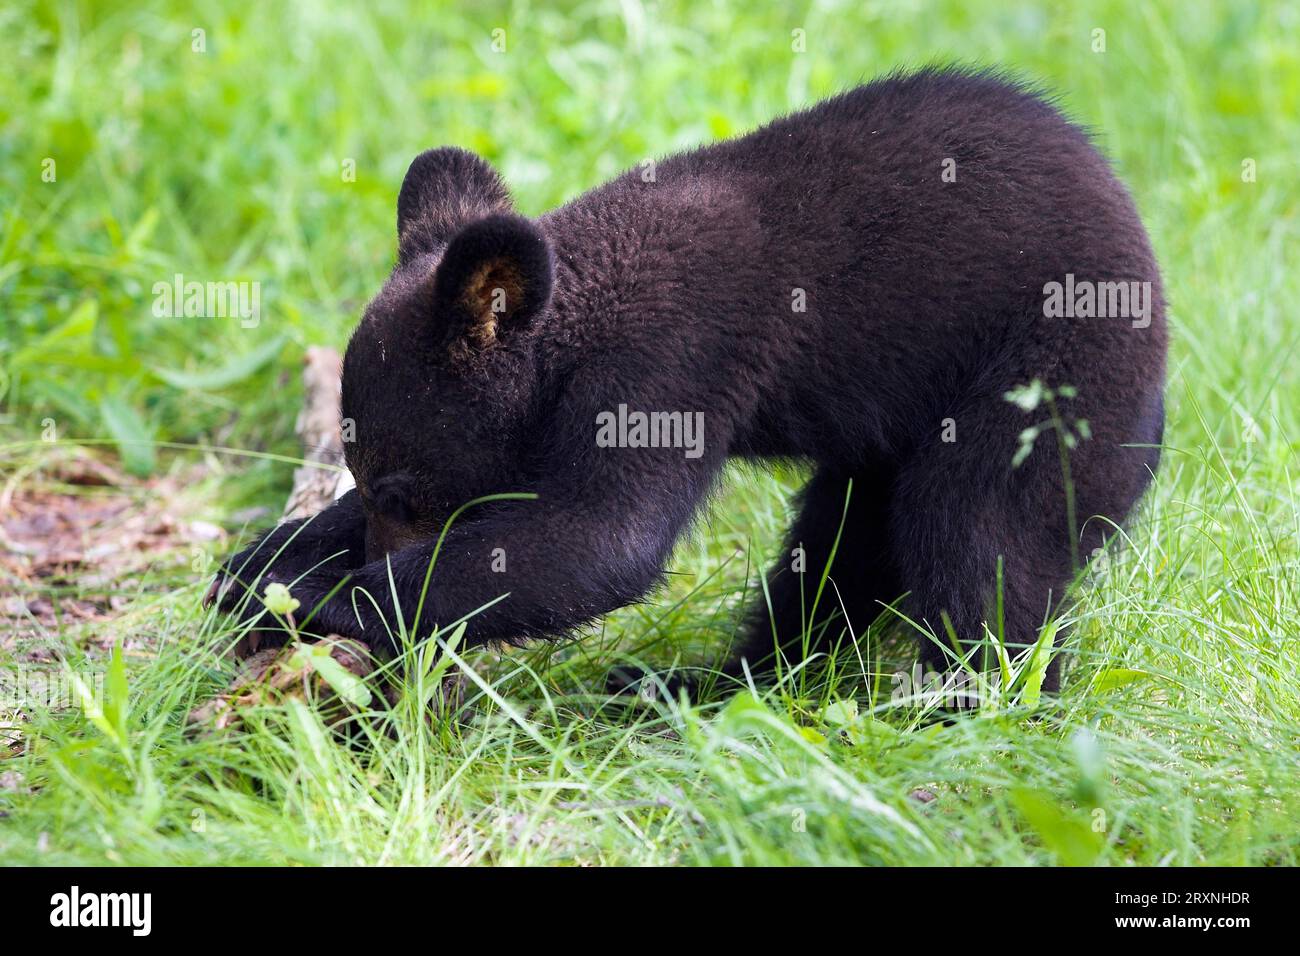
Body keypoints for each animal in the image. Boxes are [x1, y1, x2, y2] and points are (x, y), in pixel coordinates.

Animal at [210, 67, 1166, 697]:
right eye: (365, 477)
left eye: (405, 490)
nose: (377, 547)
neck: (578, 315)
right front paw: (255, 566)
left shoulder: (671, 361)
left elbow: (597, 539)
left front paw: (317, 599)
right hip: (893, 437)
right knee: (839, 548)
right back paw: (704, 691)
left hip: (1044, 386)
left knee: (979, 546)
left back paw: (965, 712)